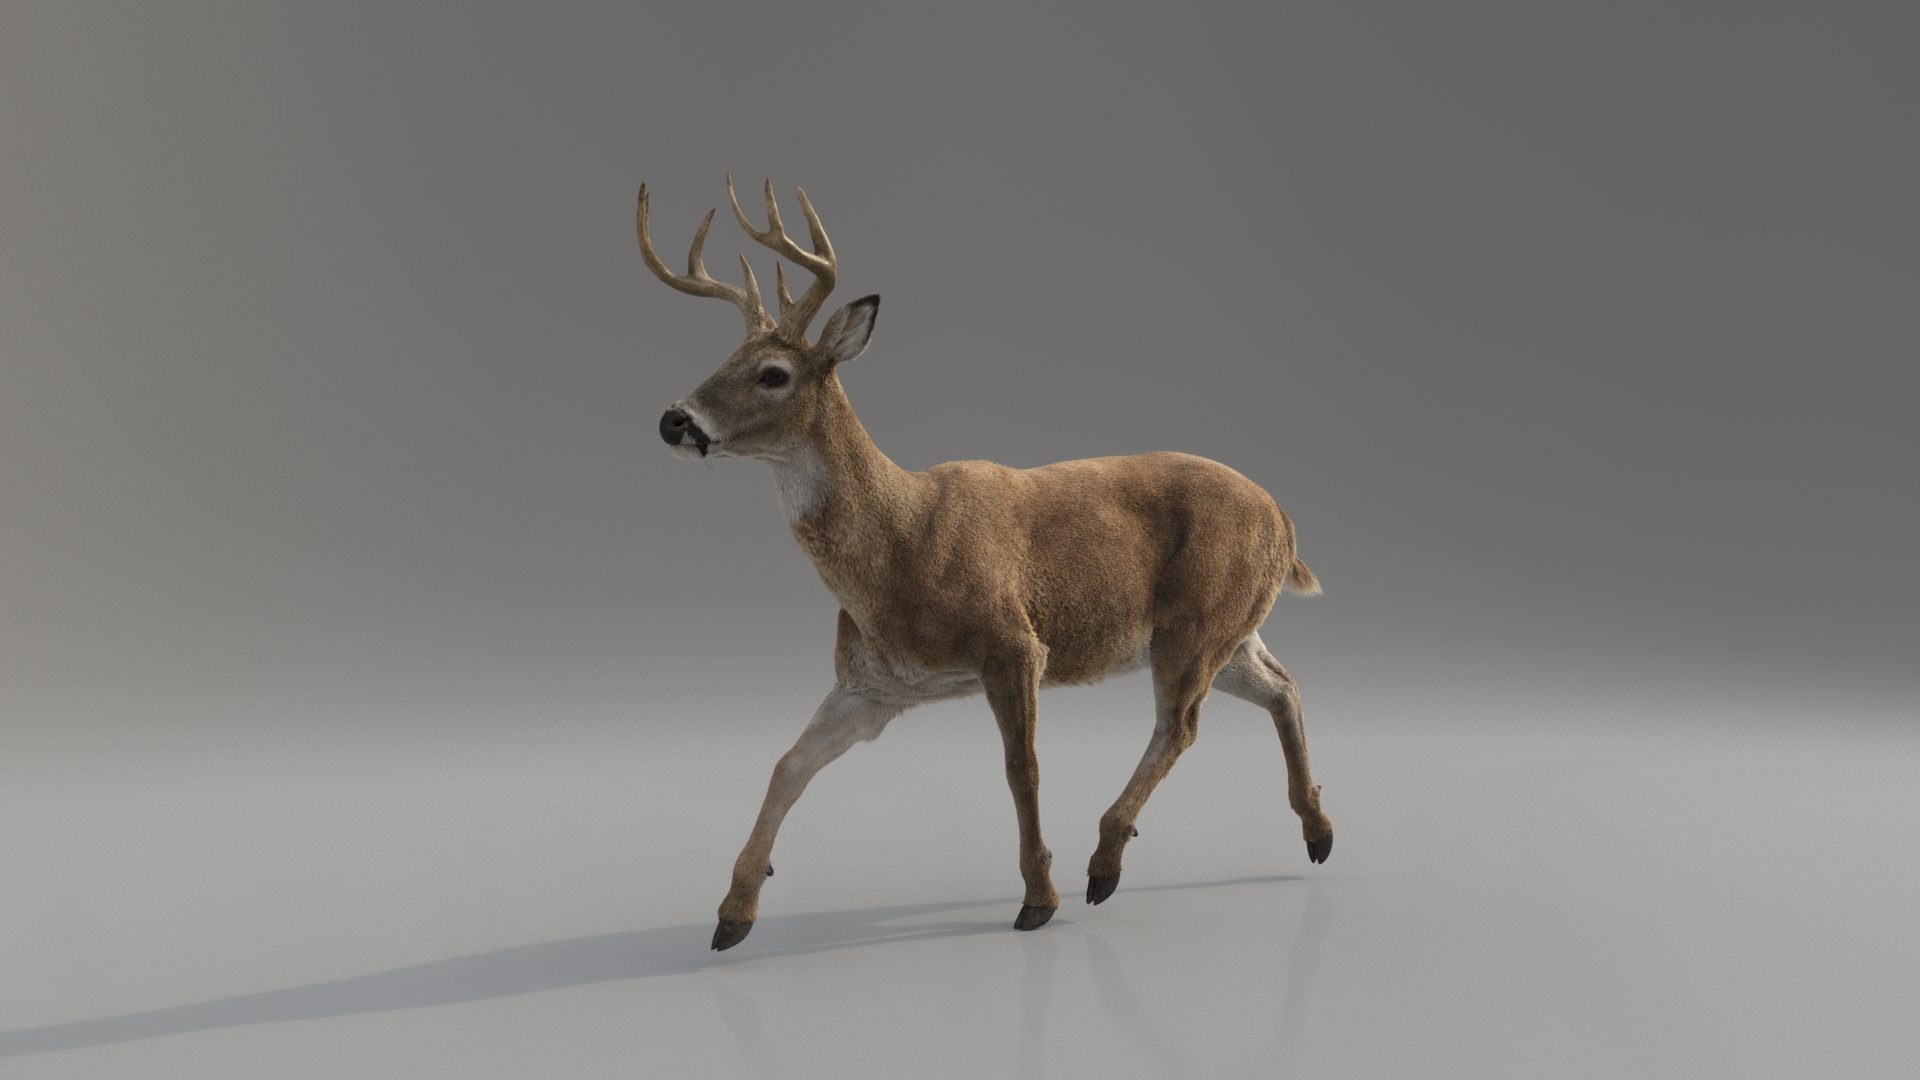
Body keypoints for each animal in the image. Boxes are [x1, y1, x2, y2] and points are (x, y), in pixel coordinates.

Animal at [639, 177, 1333, 951]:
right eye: (724, 358)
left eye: (772, 373)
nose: (675, 420)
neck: (900, 547)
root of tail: (1284, 518)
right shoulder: (871, 685)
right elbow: (788, 765)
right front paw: (733, 913)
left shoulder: (1014, 644)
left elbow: (1020, 768)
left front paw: (1038, 898)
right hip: (1228, 629)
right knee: (1280, 686)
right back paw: (1317, 833)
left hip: (1199, 618)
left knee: (1181, 722)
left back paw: (1104, 862)